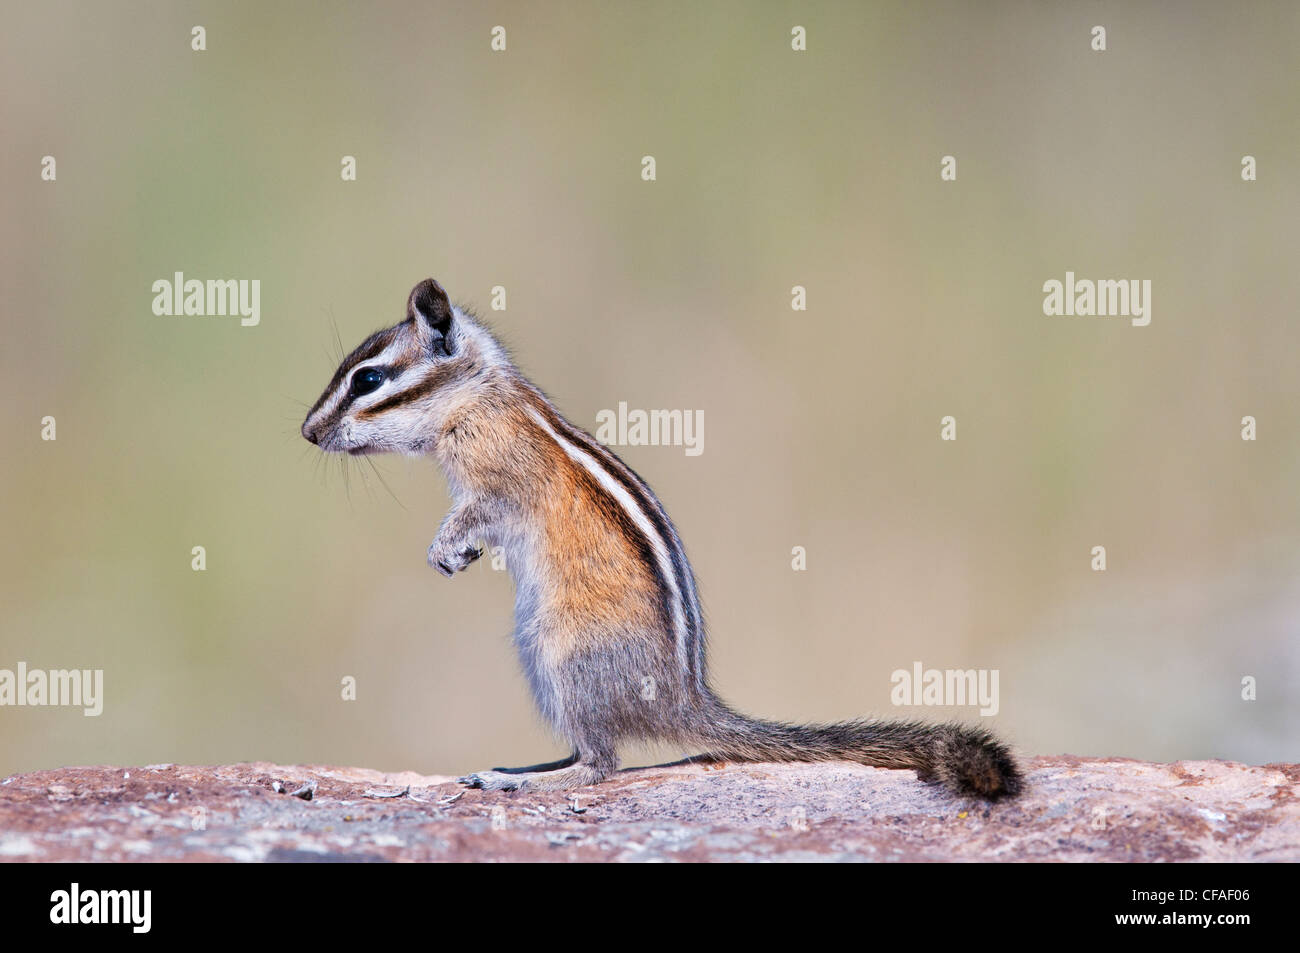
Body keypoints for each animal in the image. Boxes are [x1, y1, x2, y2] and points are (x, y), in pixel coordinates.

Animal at [302, 278, 1023, 800]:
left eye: (369, 379)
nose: (308, 431)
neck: (478, 394)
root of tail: (687, 703)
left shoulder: (498, 475)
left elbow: (478, 511)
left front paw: (445, 548)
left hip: (561, 652)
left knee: (602, 762)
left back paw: (522, 780)